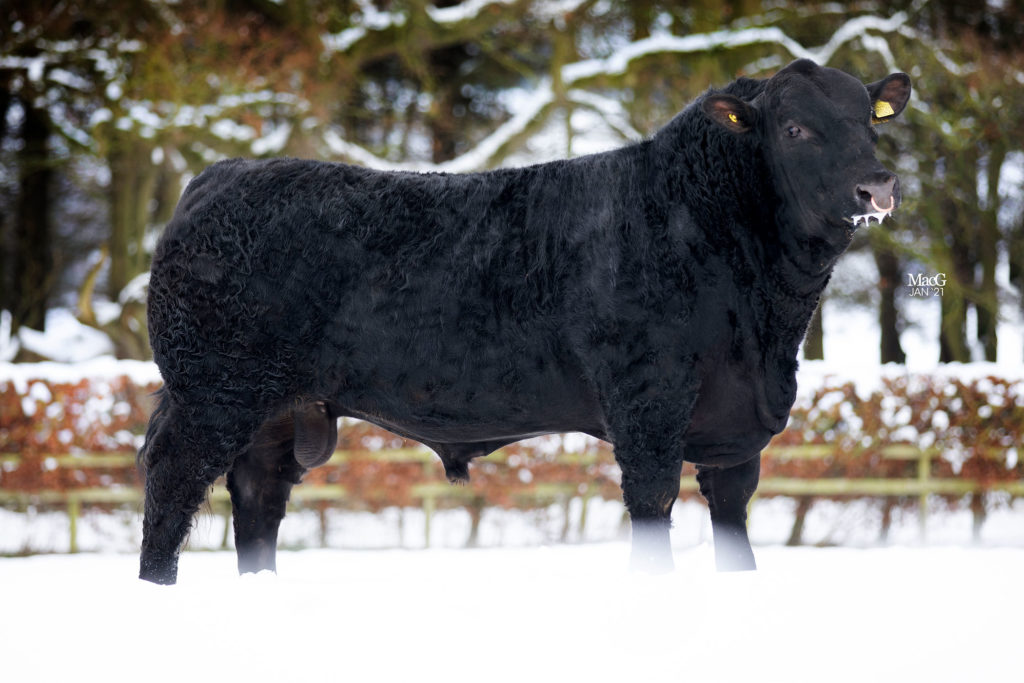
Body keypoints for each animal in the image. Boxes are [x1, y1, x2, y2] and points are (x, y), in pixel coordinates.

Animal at [138, 58, 911, 584]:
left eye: (870, 122)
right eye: (796, 127)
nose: (878, 186)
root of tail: (220, 175)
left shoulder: (735, 430)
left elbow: (733, 522)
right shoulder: (648, 406)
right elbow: (653, 507)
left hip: (277, 410)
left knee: (257, 496)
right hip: (212, 394)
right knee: (173, 484)